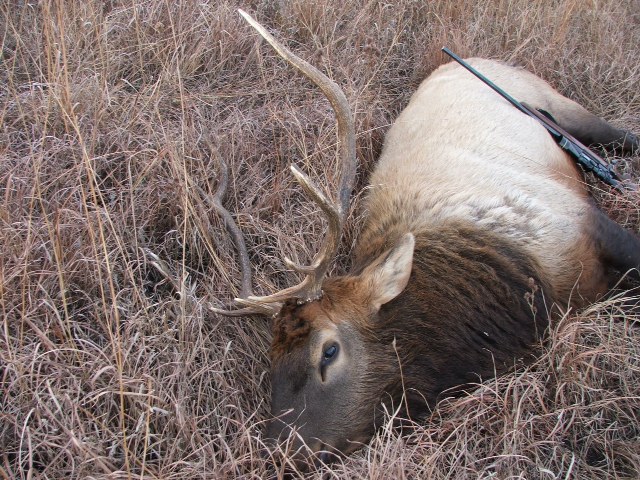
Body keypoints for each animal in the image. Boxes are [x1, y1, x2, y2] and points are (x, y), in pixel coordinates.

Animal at [212, 10, 640, 467]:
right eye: (270, 360)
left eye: (329, 350)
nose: (280, 451)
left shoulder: (577, 220)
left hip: (559, 102)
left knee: (620, 135)